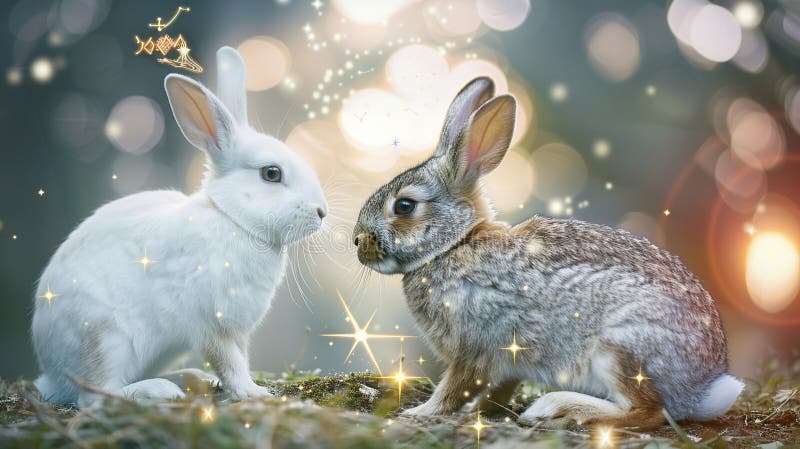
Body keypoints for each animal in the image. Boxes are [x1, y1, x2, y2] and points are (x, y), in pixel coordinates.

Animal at [32, 46, 328, 408]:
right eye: (271, 173)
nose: (322, 212)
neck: (232, 218)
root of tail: (51, 374)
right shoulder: (211, 322)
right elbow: (229, 361)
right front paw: (253, 392)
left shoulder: (237, 330)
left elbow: (239, 358)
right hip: (105, 336)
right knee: (97, 395)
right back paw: (159, 390)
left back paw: (190, 378)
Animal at [352, 77, 743, 429]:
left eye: (404, 206)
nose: (357, 241)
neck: (454, 245)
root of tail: (701, 389)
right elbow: (498, 389)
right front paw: (482, 411)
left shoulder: (474, 348)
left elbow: (455, 388)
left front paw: (419, 413)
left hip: (620, 347)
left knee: (647, 412)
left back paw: (559, 409)